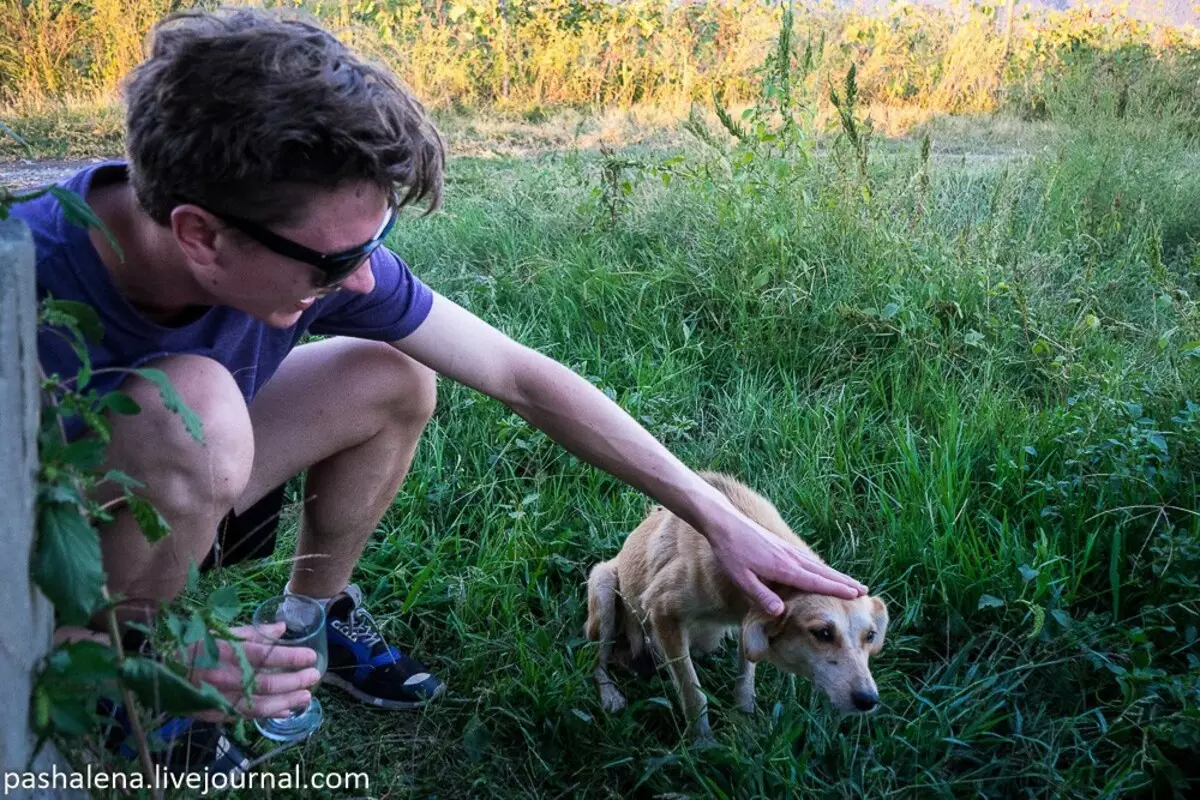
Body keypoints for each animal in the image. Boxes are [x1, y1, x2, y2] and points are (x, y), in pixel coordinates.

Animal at [585, 472, 888, 743]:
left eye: (870, 636)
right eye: (822, 633)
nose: (869, 700)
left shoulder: (747, 620)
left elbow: (745, 680)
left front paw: (746, 721)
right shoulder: (663, 612)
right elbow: (693, 692)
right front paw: (702, 742)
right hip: (603, 588)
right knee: (599, 664)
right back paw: (611, 696)